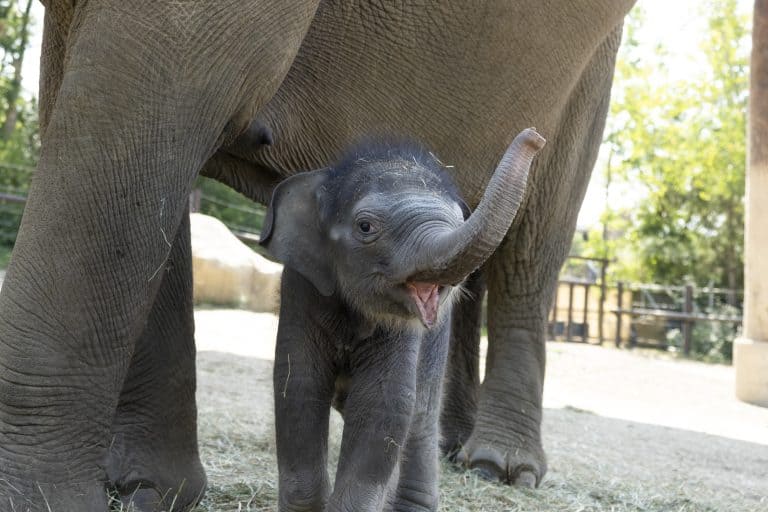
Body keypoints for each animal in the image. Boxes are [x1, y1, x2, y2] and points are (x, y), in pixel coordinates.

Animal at [262, 129, 544, 512]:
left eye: (459, 222)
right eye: (365, 226)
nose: (535, 137)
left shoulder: (408, 329)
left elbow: (385, 403)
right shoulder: (302, 290)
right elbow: (299, 386)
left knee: (421, 416)